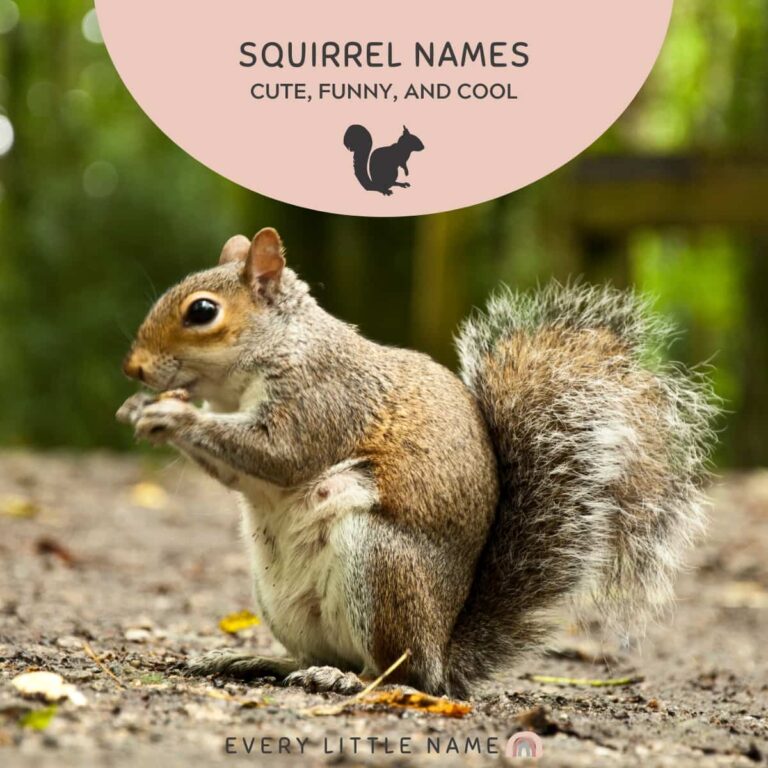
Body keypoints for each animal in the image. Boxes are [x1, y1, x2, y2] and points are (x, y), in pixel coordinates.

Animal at [117, 228, 717, 698]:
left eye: (202, 312)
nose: (133, 369)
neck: (280, 348)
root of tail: (441, 652)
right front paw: (140, 410)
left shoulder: (326, 399)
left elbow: (280, 456)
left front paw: (172, 415)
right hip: (280, 598)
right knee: (322, 654)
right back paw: (257, 659)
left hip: (380, 566)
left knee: (395, 674)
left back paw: (348, 681)